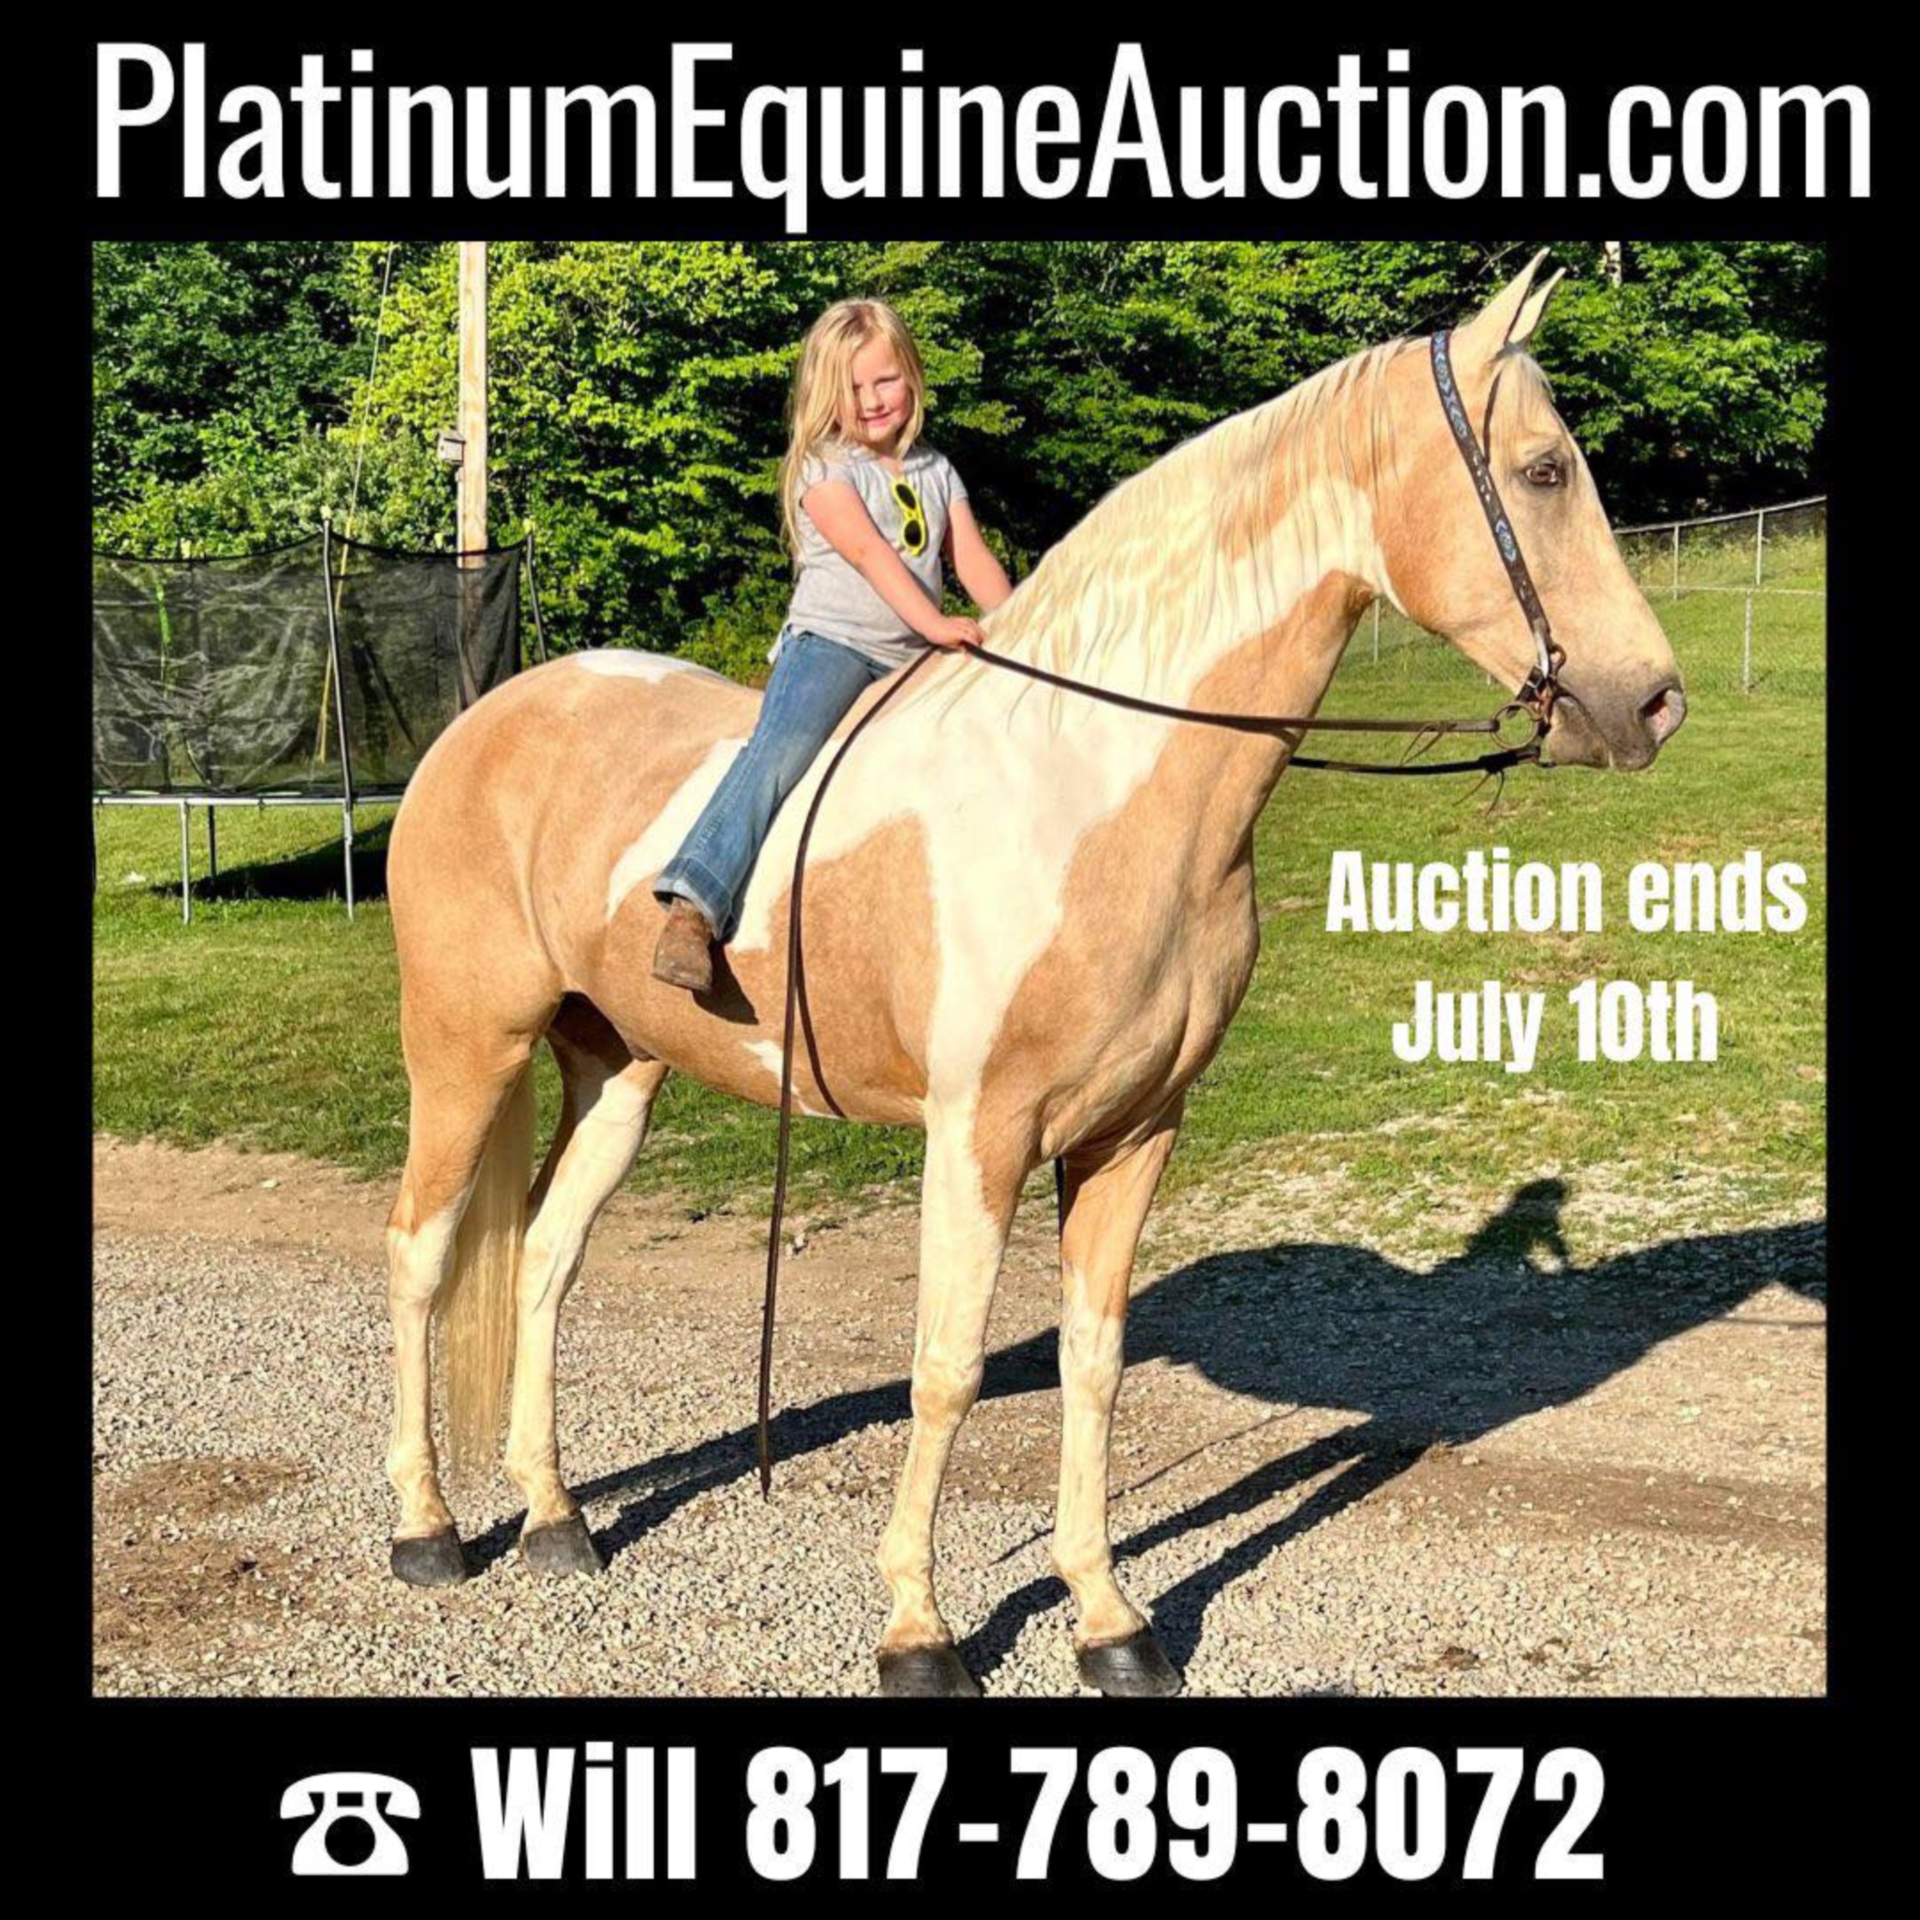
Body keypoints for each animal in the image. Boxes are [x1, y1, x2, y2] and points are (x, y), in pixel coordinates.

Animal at [380, 252, 1686, 1697]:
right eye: (1543, 471)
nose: (1651, 704)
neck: (1092, 785)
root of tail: (483, 725)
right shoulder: (980, 1134)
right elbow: (946, 1370)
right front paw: (918, 1630)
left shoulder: (1134, 1133)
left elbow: (1094, 1367)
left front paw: (1109, 1620)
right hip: (466, 1049)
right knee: (423, 1253)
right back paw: (427, 1528)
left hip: (618, 1069)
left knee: (544, 1258)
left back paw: (555, 1517)